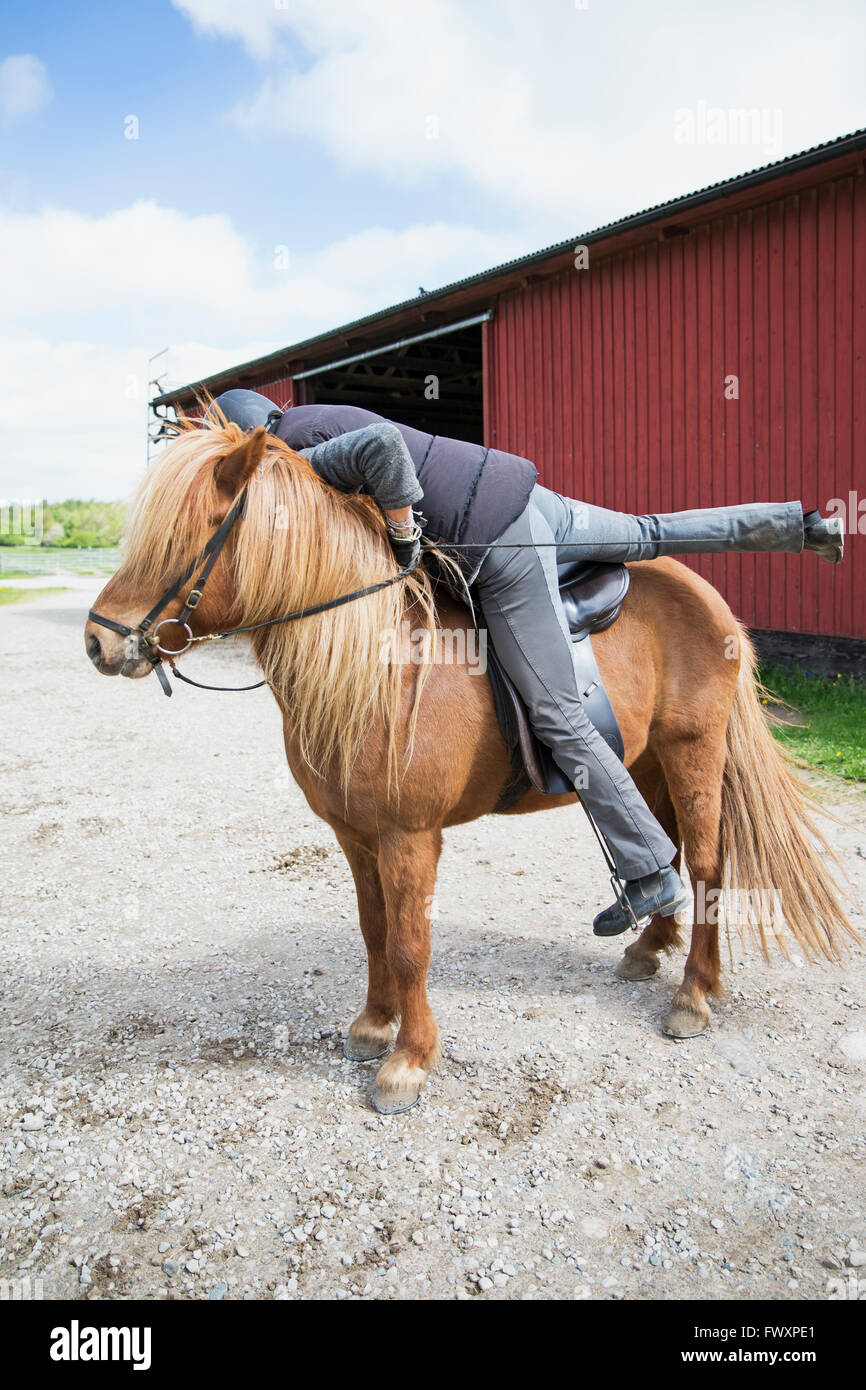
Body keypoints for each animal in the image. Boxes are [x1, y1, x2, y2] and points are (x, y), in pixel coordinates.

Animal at [85, 420, 856, 1113]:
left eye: (182, 540)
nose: (98, 641)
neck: (378, 665)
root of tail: (714, 606)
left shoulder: (409, 837)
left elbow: (409, 943)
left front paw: (408, 1062)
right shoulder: (354, 836)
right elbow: (374, 929)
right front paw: (374, 1024)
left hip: (695, 748)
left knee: (704, 864)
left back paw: (694, 993)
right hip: (649, 762)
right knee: (661, 847)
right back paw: (649, 943)